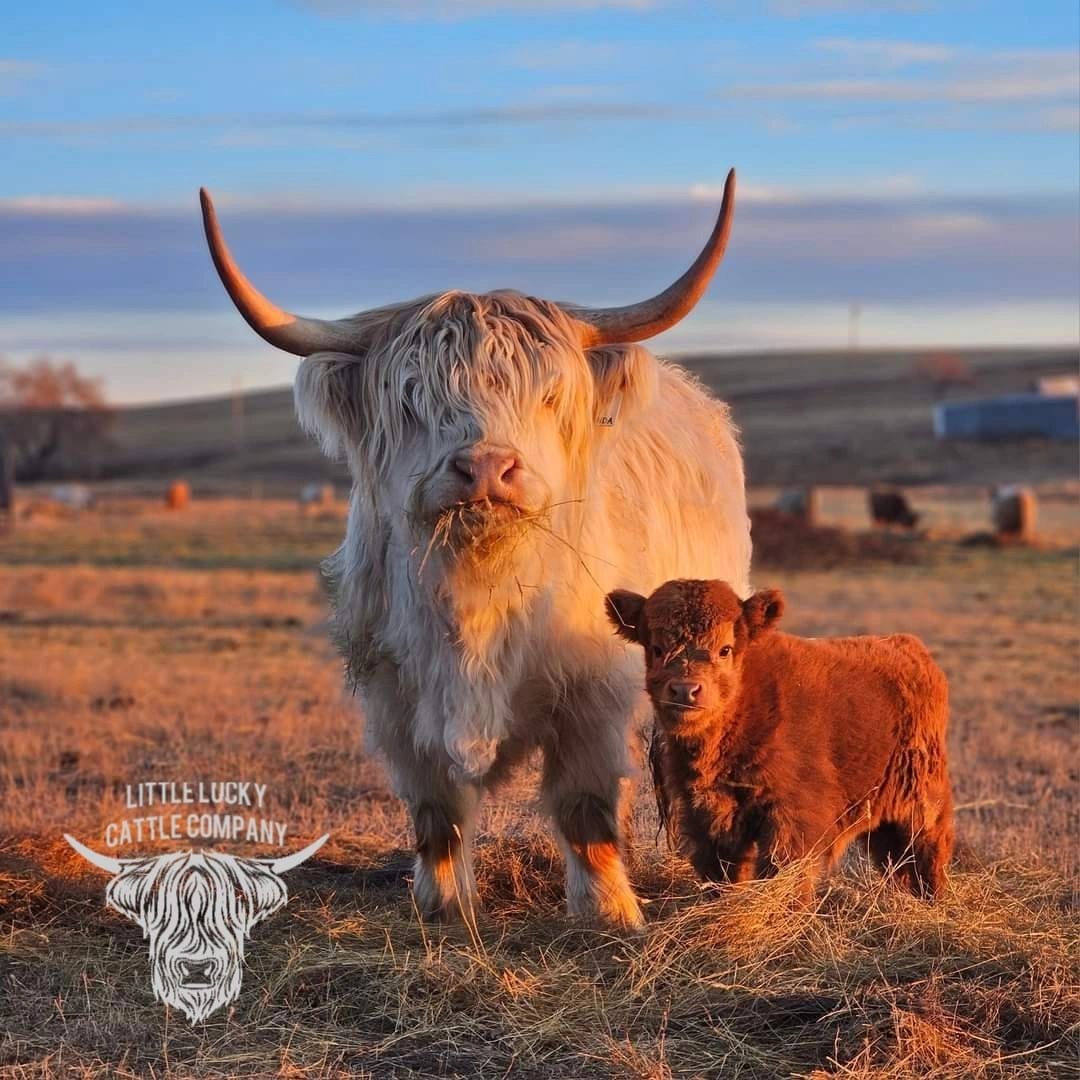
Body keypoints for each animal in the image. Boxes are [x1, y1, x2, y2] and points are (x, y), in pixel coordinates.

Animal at [199, 170, 751, 928]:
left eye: (548, 395)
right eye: (411, 399)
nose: (486, 467)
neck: (481, 592)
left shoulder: (594, 695)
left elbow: (586, 805)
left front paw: (609, 912)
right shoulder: (395, 695)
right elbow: (438, 811)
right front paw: (443, 903)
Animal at [606, 580, 953, 898]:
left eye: (725, 649)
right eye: (656, 649)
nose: (685, 690)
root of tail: (909, 646)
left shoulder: (792, 817)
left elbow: (783, 872)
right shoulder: (705, 816)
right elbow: (723, 873)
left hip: (923, 803)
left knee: (927, 852)